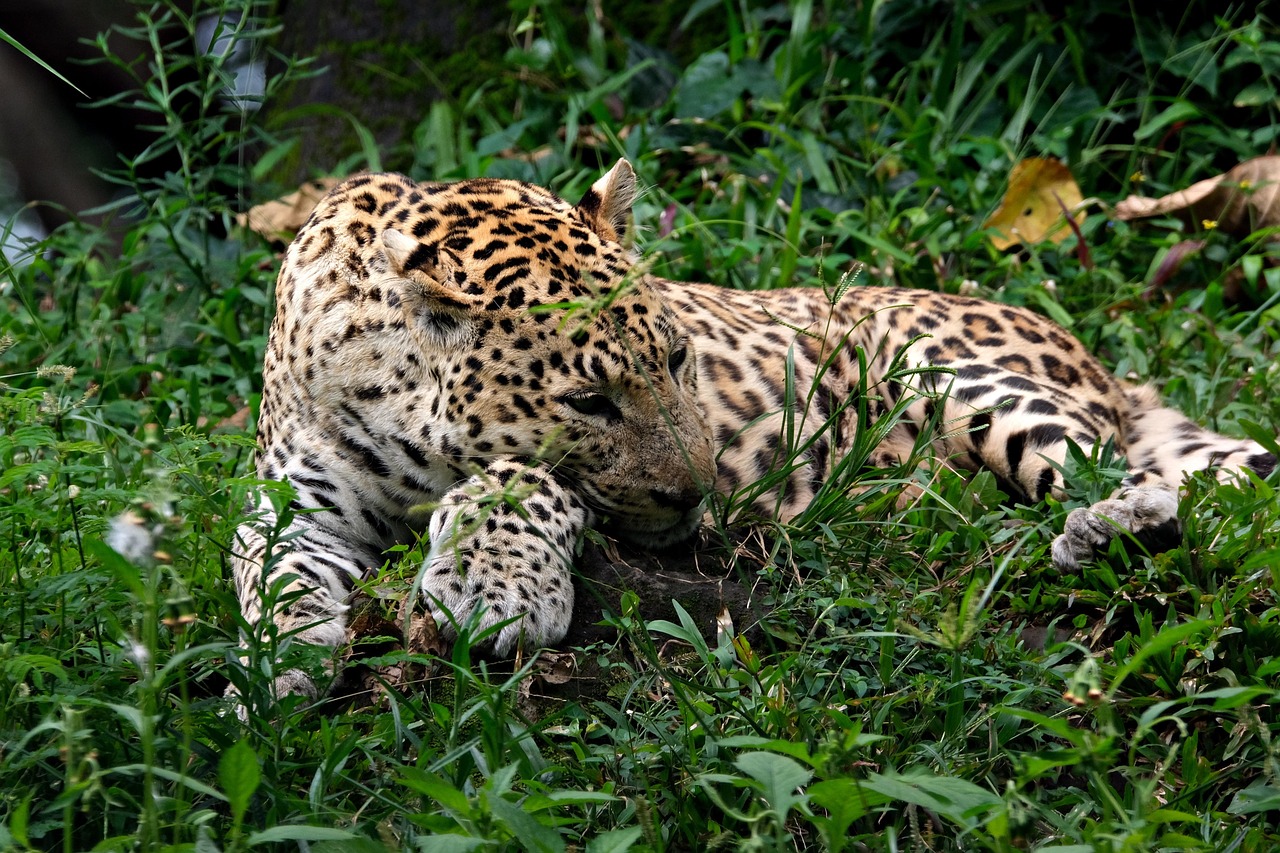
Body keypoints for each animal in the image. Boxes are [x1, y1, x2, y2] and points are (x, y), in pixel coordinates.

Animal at [232, 159, 1275, 699]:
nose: (701, 498)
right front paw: (280, 665)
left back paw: (1110, 529)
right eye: (589, 402)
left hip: (959, 374)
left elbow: (526, 481)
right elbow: (271, 567)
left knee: (1142, 482)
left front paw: (494, 589)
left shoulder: (580, 485)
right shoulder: (295, 496)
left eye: (679, 359)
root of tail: (1102, 364)